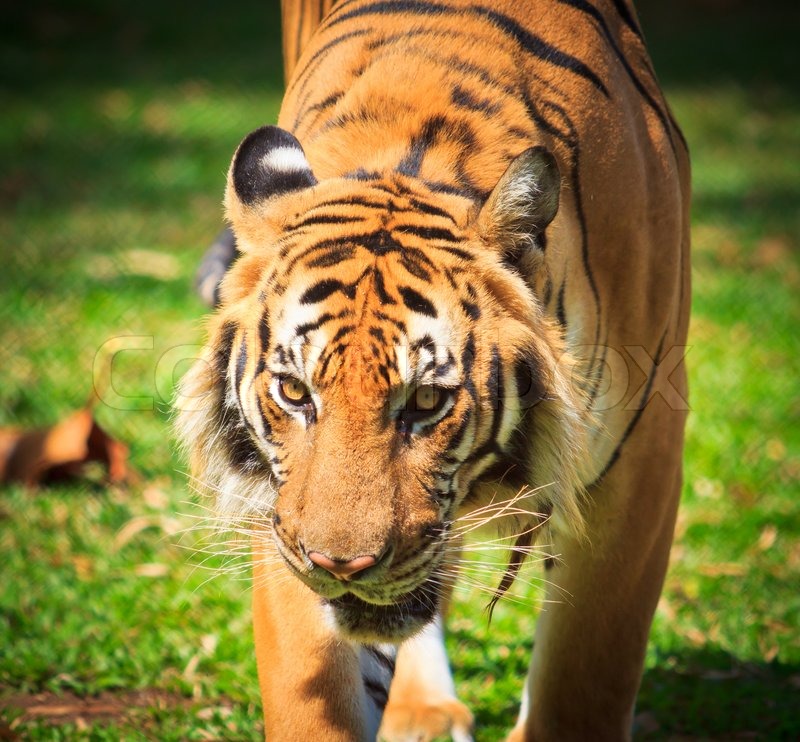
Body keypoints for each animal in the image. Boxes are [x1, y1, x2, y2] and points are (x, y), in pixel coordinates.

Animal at [177, 0, 691, 739]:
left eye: (425, 402)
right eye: (295, 393)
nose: (340, 565)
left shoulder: (637, 467)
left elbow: (581, 685)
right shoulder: (279, 506)